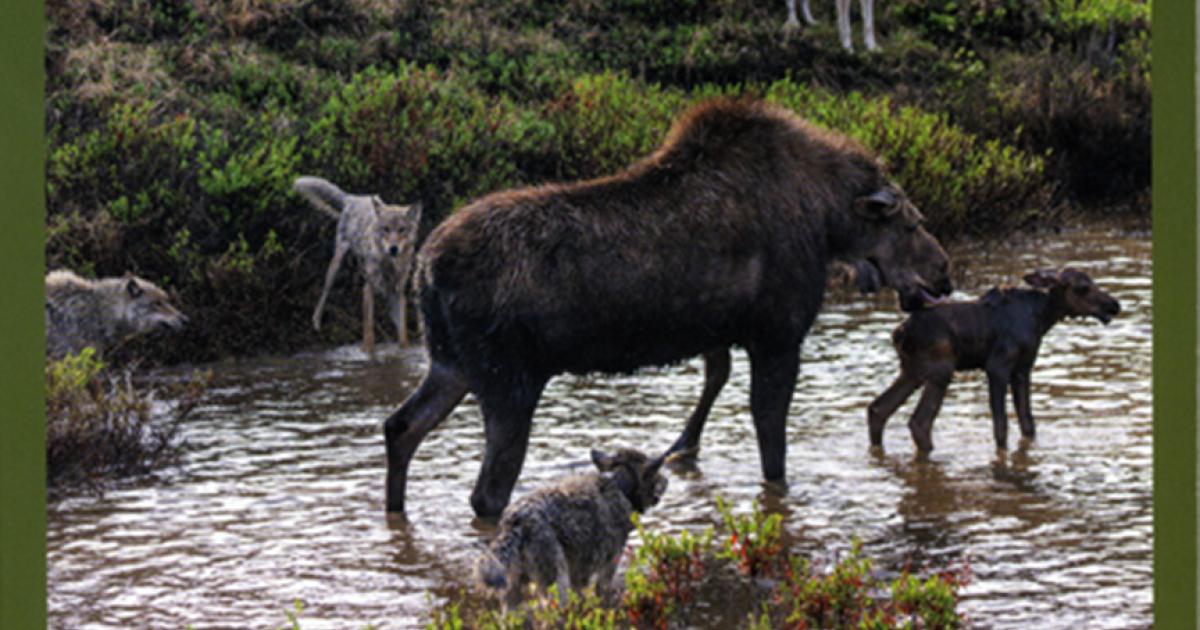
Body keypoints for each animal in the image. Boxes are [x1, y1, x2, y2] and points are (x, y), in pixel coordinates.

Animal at [294, 176, 422, 356]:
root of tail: (352, 198)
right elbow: (368, 330)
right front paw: (367, 353)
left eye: (402, 230)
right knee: (325, 290)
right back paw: (316, 320)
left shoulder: (397, 292)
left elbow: (402, 334)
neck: (388, 265)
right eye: (386, 229)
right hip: (336, 263)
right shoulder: (368, 288)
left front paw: (404, 351)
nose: (393, 248)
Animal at [474, 447, 669, 611]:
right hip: (557, 581)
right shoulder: (609, 564)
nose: (666, 479)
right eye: (656, 472)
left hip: (515, 587)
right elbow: (600, 593)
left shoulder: (578, 575)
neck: (620, 486)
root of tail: (516, 521)